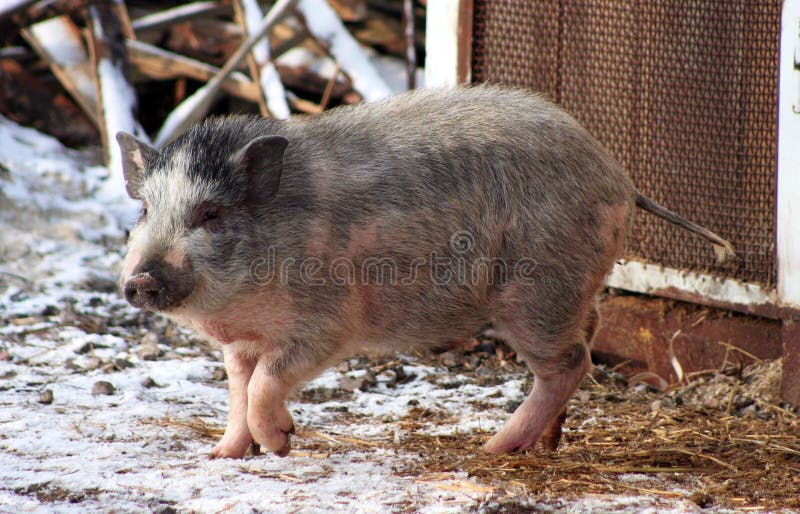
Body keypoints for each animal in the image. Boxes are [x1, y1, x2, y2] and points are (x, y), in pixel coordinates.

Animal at [116, 86, 734, 459]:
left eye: (210, 214)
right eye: (144, 210)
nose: (141, 280)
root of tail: (619, 178)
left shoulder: (329, 325)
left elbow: (266, 382)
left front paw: (284, 443)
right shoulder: (239, 343)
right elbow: (238, 391)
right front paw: (222, 455)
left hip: (535, 291)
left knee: (570, 362)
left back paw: (493, 450)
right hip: (571, 289)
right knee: (591, 331)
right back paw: (548, 445)